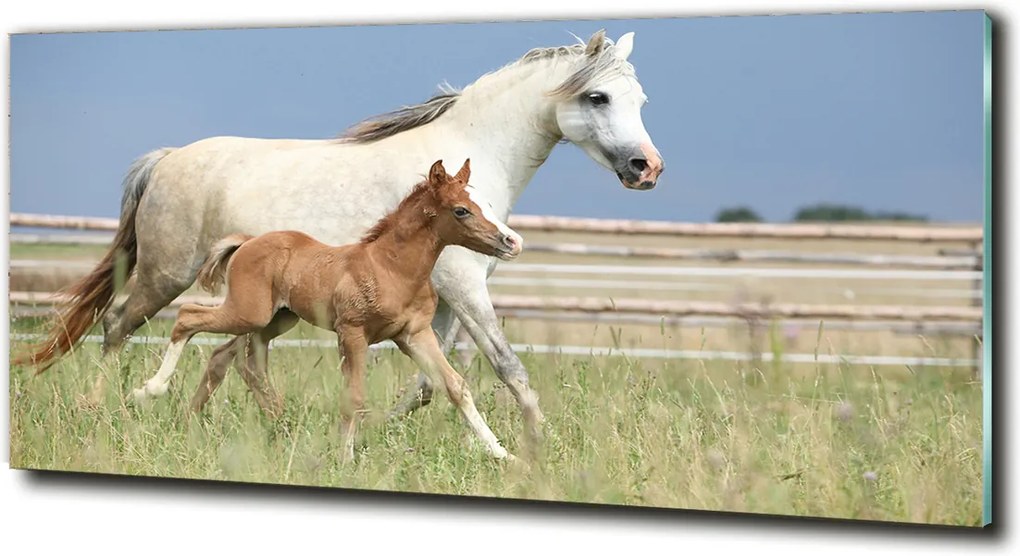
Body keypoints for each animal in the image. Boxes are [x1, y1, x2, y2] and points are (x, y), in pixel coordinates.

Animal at [130, 159, 522, 459]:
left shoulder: (414, 335)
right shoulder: (352, 333)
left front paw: (504, 454)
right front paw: (346, 458)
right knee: (188, 318)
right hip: (248, 312)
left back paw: (265, 422)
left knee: (242, 359)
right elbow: (355, 395)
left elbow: (456, 386)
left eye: (487, 204)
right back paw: (150, 390)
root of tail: (247, 242)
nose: (512, 242)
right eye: (461, 210)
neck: (390, 268)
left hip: (276, 320)